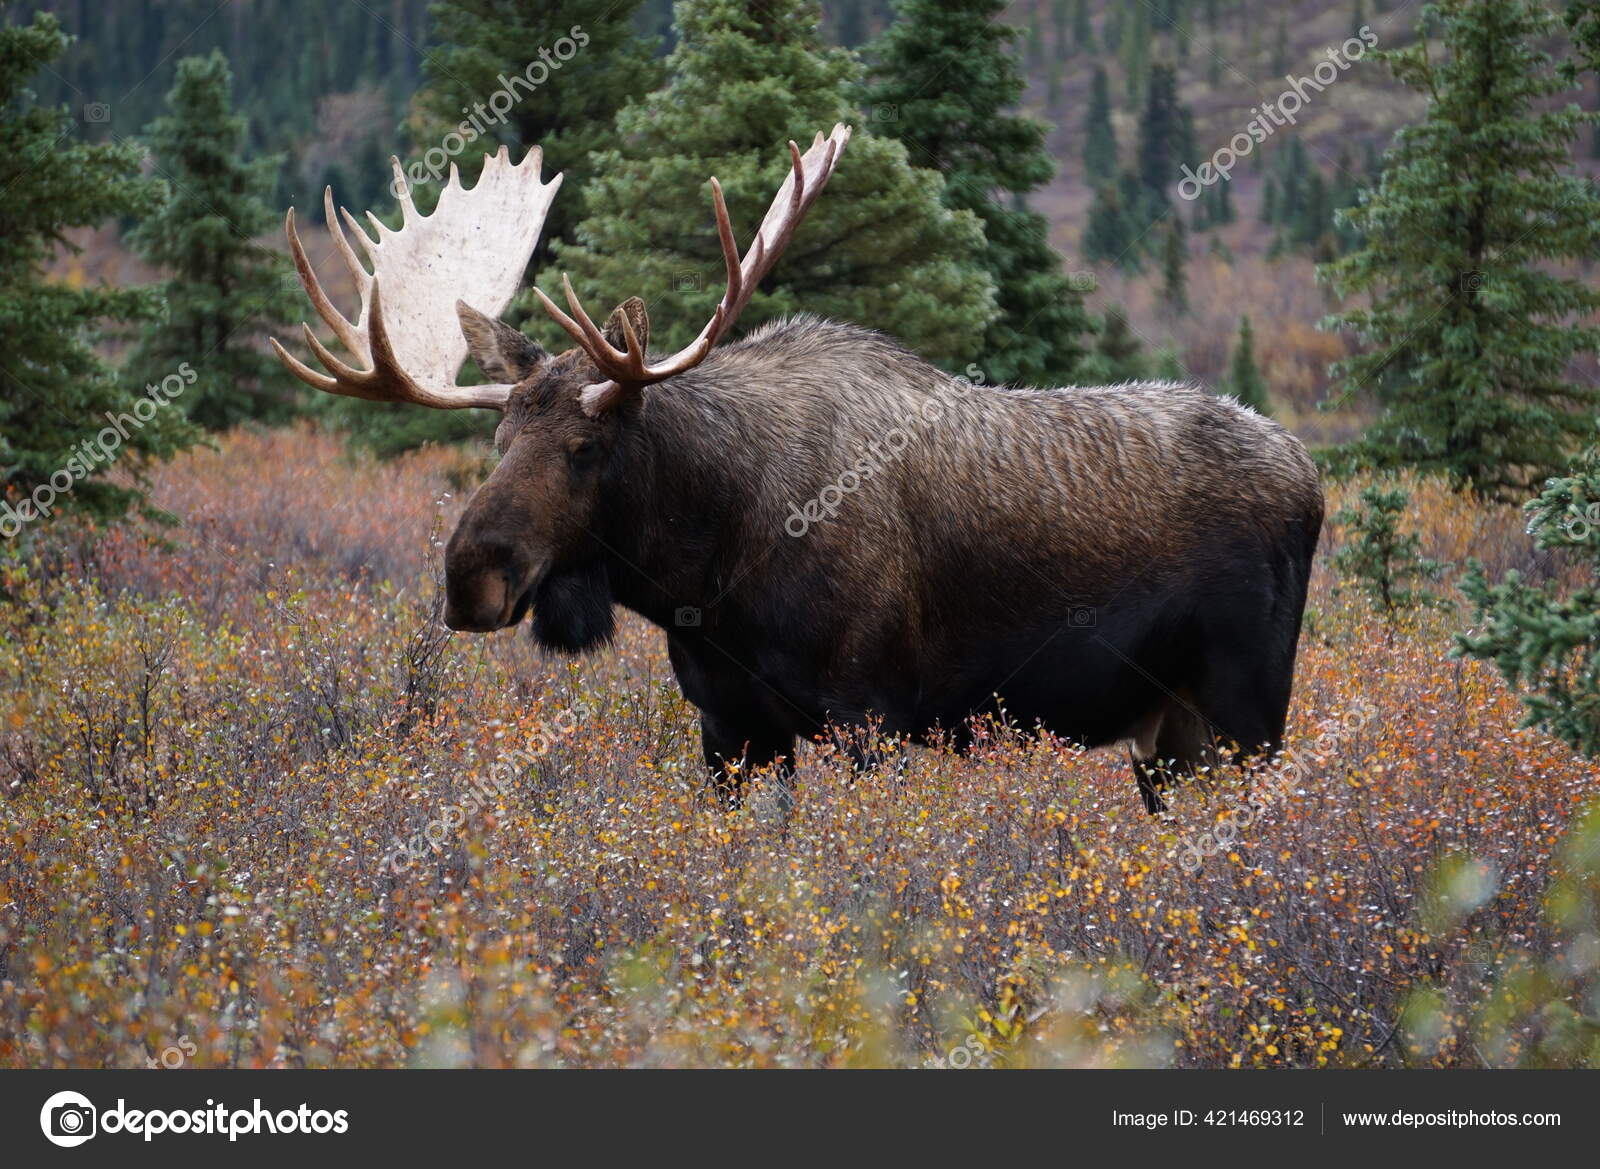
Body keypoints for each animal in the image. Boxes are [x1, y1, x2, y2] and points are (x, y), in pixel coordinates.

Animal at [272, 125, 1324, 814]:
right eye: (497, 442)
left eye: (585, 446)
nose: (469, 576)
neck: (707, 574)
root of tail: (1312, 476)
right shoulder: (731, 730)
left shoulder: (873, 717)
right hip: (1166, 732)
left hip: (1248, 707)